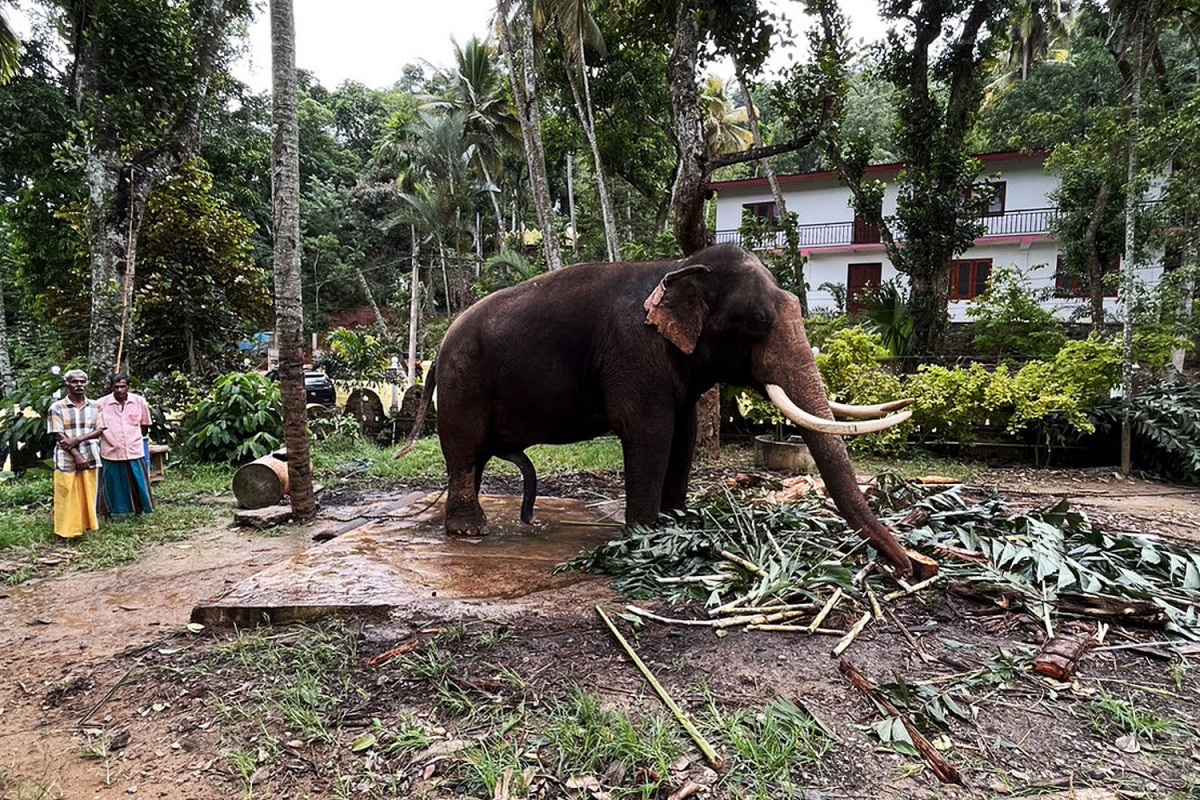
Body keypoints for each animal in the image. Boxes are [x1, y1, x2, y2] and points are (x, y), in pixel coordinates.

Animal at [400, 244, 926, 577]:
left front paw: (680, 524)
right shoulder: (634, 354)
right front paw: (643, 537)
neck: (679, 267)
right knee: (465, 451)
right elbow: (650, 432)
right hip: (463, 384)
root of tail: (438, 347)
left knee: (475, 458)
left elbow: (685, 432)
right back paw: (471, 531)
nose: (912, 569)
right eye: (757, 322)